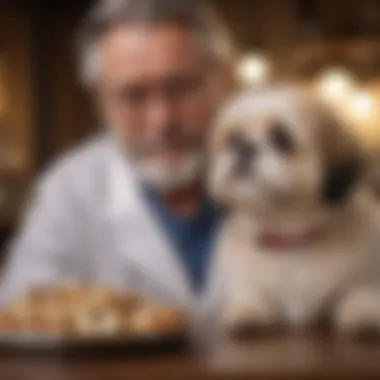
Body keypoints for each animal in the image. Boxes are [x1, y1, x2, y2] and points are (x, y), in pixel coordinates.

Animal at [209, 86, 380, 336]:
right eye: (232, 139)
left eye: (282, 138)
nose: (245, 147)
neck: (289, 236)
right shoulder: (245, 281)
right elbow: (250, 294)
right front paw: (246, 310)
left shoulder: (366, 272)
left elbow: (362, 290)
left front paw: (364, 313)